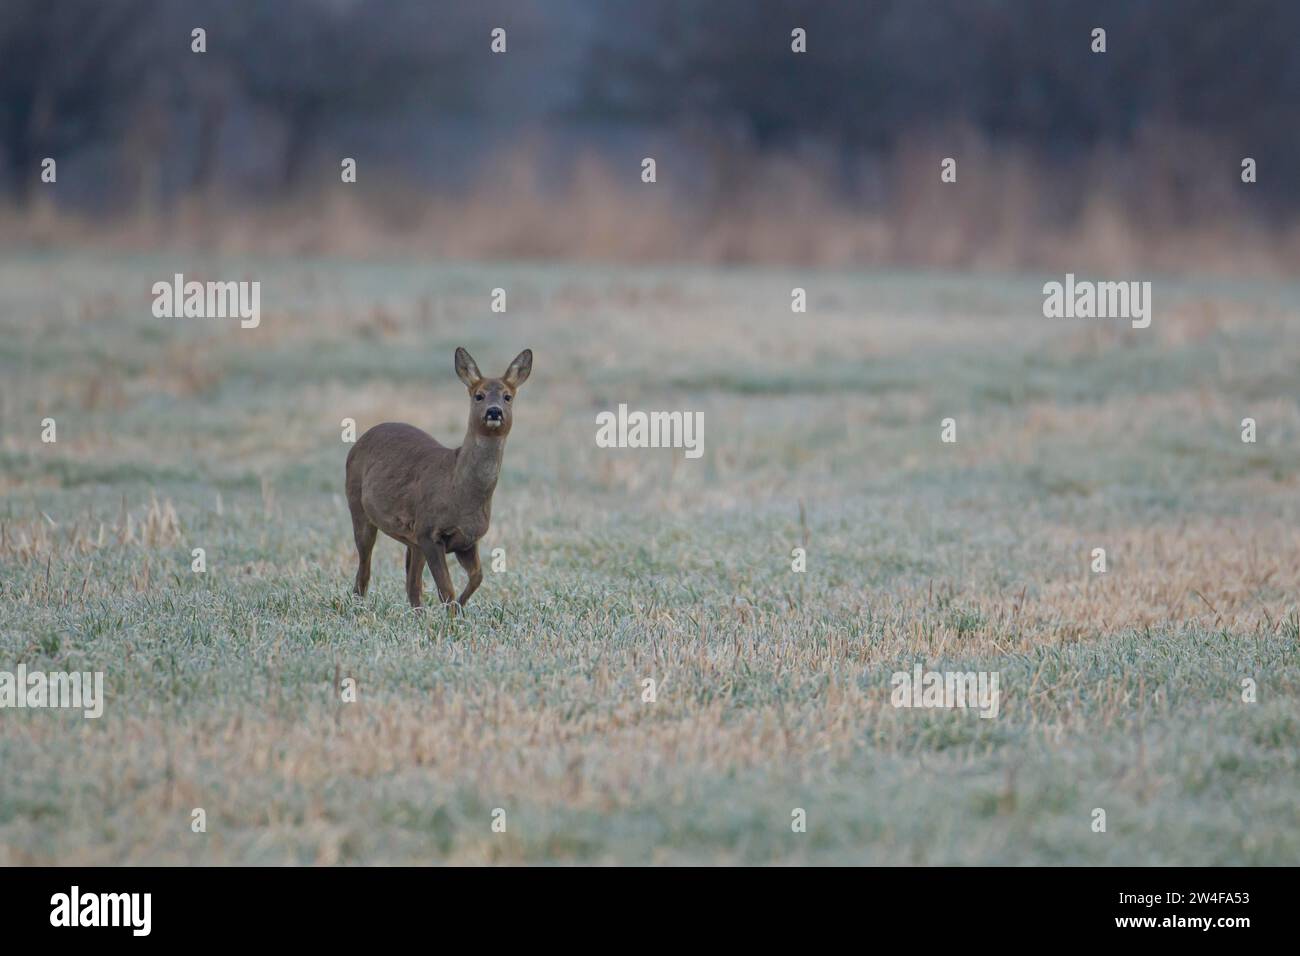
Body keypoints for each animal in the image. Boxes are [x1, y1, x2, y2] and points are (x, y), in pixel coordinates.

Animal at [345, 347, 532, 615]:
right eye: (479, 395)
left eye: (508, 396)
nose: (494, 411)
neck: (459, 492)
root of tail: (359, 441)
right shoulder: (429, 531)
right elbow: (446, 589)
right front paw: (452, 616)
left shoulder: (466, 540)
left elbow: (477, 577)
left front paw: (459, 610)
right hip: (358, 507)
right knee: (365, 569)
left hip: (411, 537)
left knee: (411, 583)